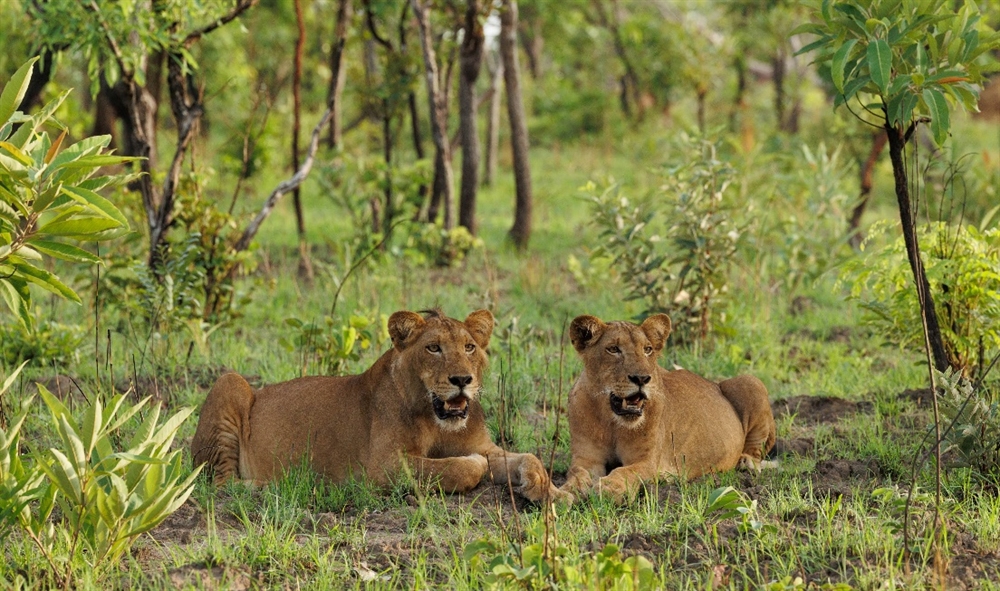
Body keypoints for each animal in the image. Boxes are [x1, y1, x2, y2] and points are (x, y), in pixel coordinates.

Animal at [191, 309, 569, 504]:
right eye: (433, 348)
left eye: (469, 347)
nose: (463, 379)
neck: (436, 420)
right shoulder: (381, 467)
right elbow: (462, 467)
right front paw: (474, 466)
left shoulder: (485, 446)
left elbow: (527, 457)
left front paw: (548, 489)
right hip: (230, 382)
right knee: (220, 483)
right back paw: (278, 485)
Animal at [559, 313, 776, 501]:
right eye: (613, 349)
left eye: (647, 350)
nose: (641, 378)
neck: (611, 420)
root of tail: (714, 383)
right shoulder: (587, 459)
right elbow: (577, 473)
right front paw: (566, 492)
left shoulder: (648, 461)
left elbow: (627, 471)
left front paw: (610, 487)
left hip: (750, 381)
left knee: (756, 448)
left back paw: (746, 463)